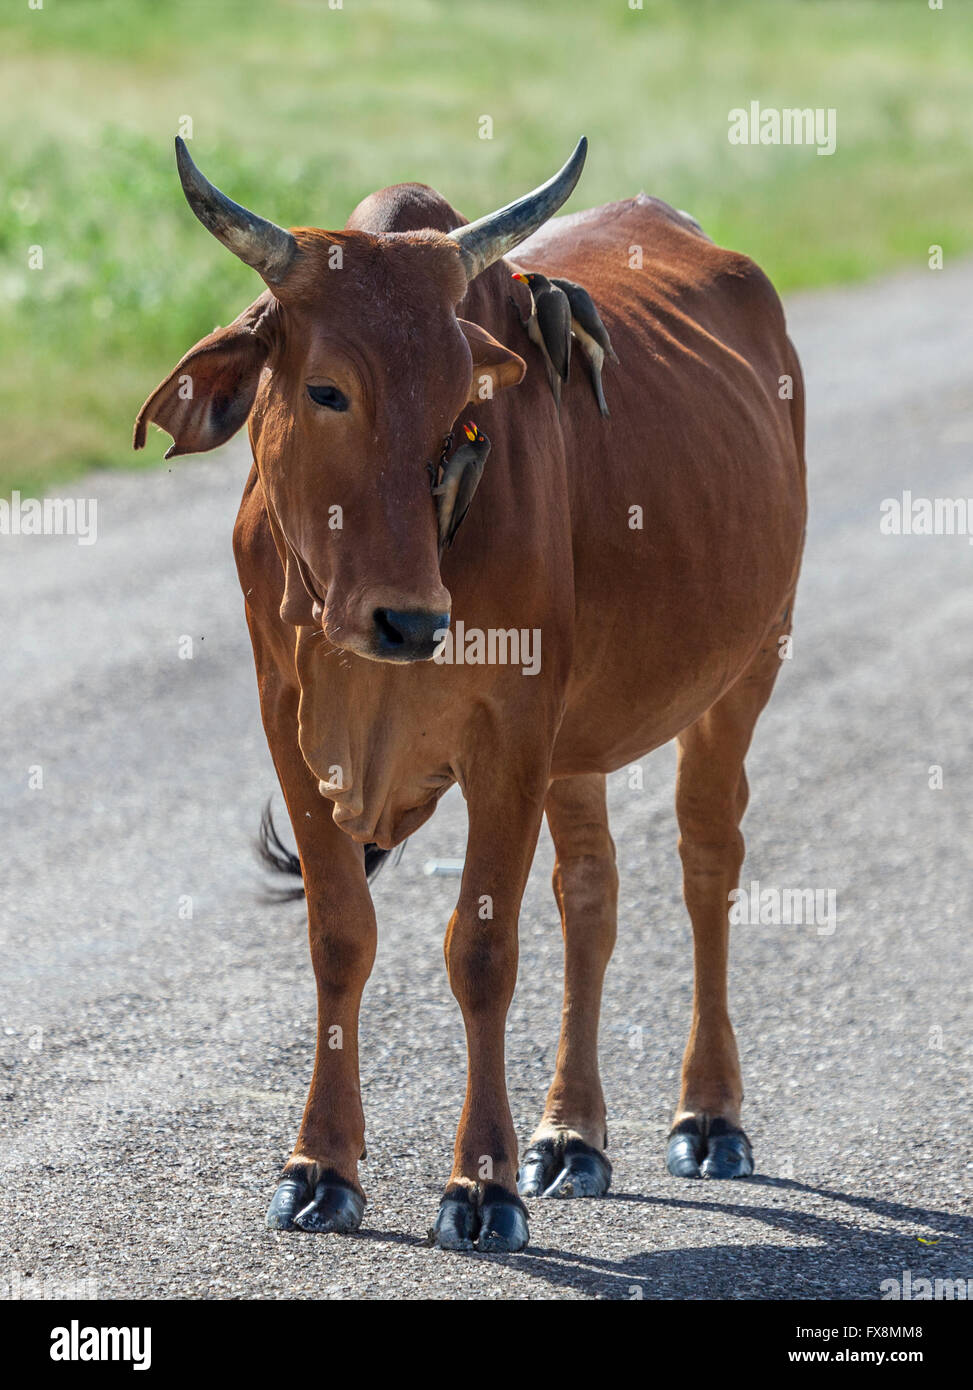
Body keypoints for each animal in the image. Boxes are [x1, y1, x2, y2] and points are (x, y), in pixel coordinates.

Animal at [135, 135, 806, 1253]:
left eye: (463, 408)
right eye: (326, 390)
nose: (408, 622)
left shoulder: (511, 732)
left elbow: (481, 950)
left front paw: (479, 1185)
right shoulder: (288, 723)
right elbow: (339, 935)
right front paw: (319, 1165)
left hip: (744, 669)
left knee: (707, 864)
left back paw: (707, 1115)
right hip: (580, 743)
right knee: (590, 894)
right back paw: (570, 1134)